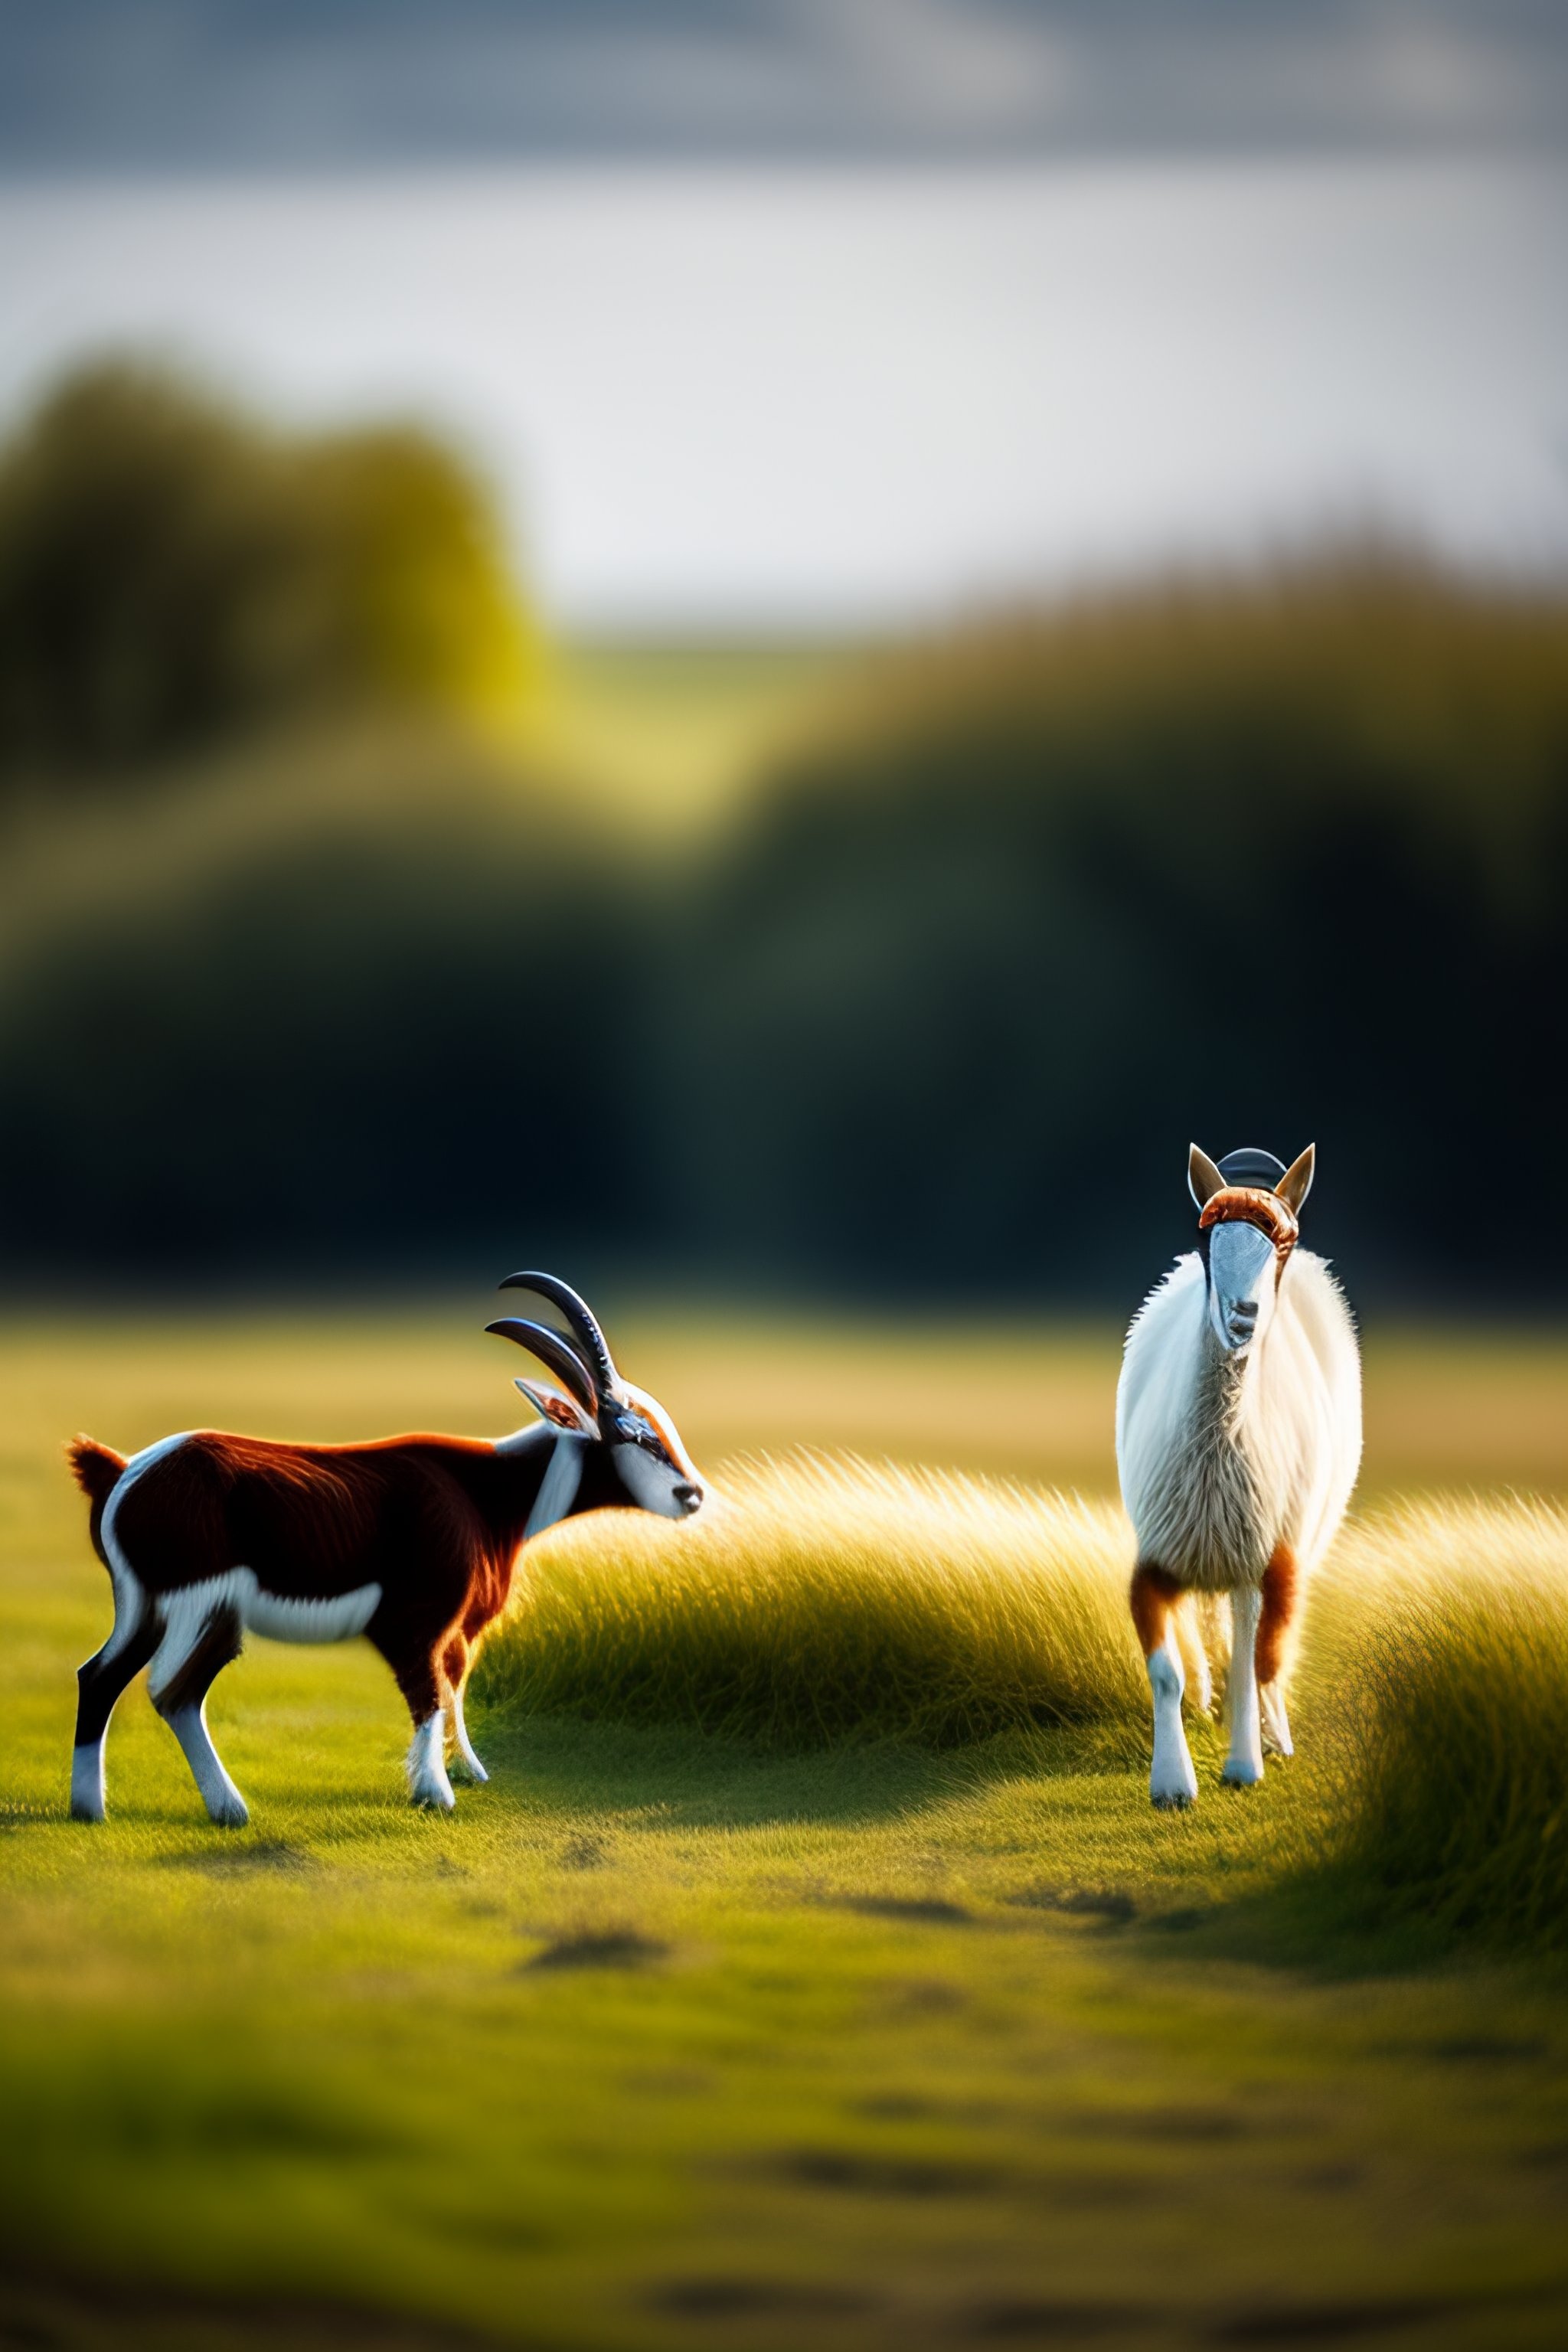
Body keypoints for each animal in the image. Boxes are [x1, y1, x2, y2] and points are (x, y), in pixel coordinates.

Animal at [66, 1274, 702, 1824]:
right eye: (634, 1434)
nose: (692, 1495)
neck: (482, 1491)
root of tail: (122, 1471)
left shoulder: (457, 1630)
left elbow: (454, 1682)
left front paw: (467, 1773)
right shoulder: (412, 1623)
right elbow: (430, 1693)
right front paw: (435, 1795)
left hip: (145, 1607)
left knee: (98, 1676)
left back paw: (90, 1809)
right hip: (207, 1609)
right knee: (173, 1691)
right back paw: (230, 1811)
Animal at [1116, 1144, 1361, 1807]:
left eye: (1280, 1246)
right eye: (1207, 1242)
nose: (1244, 1314)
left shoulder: (1264, 1561)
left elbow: (1257, 1659)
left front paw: (1245, 1764)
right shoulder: (1155, 1560)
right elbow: (1165, 1670)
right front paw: (1172, 1781)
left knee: (1266, 1653)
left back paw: (1271, 1733)